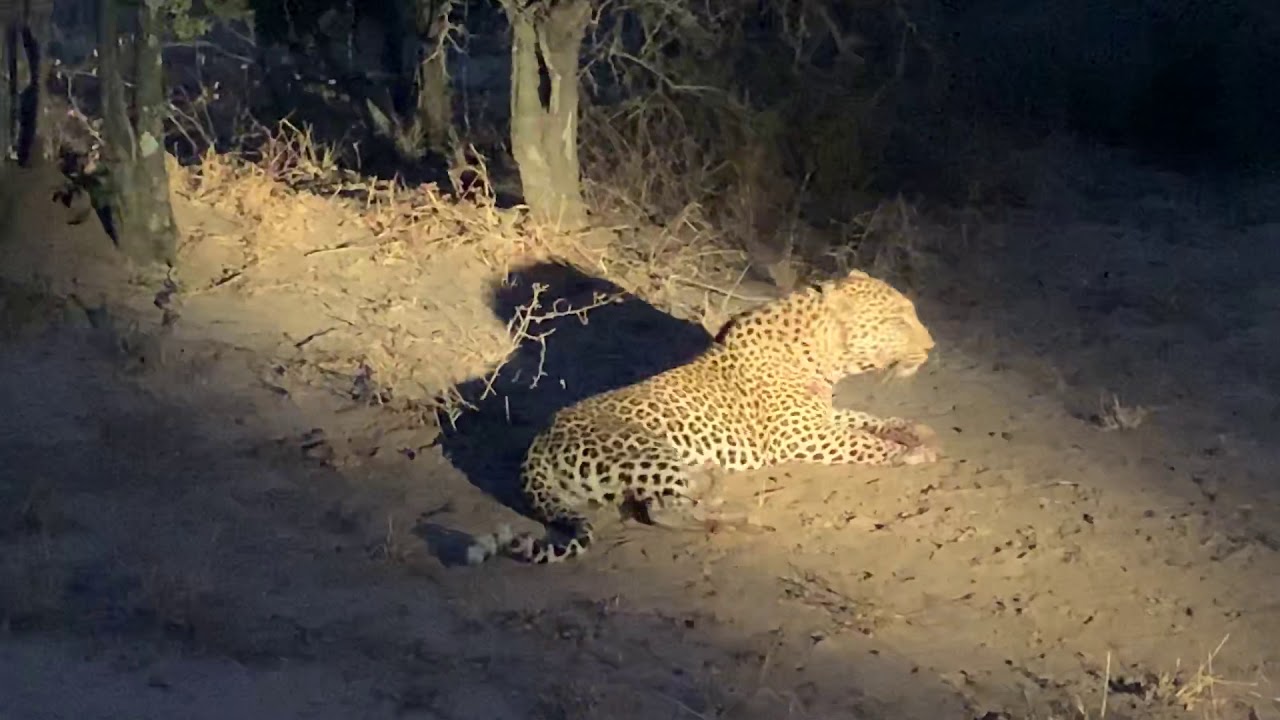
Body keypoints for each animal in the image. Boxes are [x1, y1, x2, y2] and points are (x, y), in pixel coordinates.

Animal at [466, 268, 940, 566]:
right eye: (898, 320)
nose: (932, 346)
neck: (822, 352)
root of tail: (537, 446)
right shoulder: (796, 435)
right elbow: (864, 442)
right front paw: (911, 454)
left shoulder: (818, 416)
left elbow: (865, 419)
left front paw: (915, 431)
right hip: (647, 450)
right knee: (660, 510)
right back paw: (735, 519)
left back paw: (710, 483)